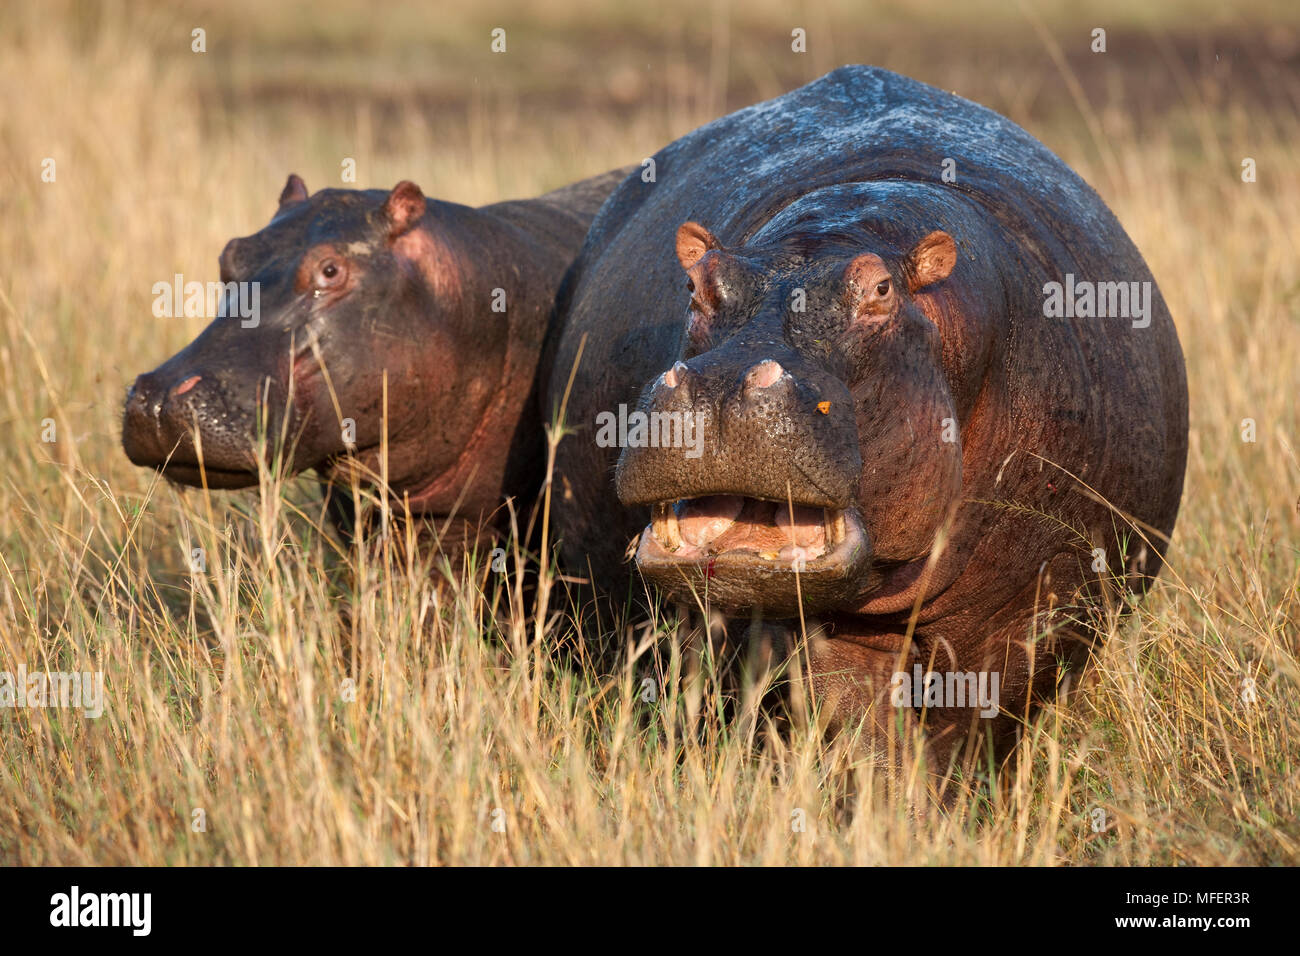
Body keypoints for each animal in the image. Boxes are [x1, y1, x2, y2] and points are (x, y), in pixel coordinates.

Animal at [545, 66, 1188, 772]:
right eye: (697, 285)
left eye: (880, 291)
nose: (721, 386)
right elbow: (862, 728)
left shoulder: (1039, 615)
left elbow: (982, 720)